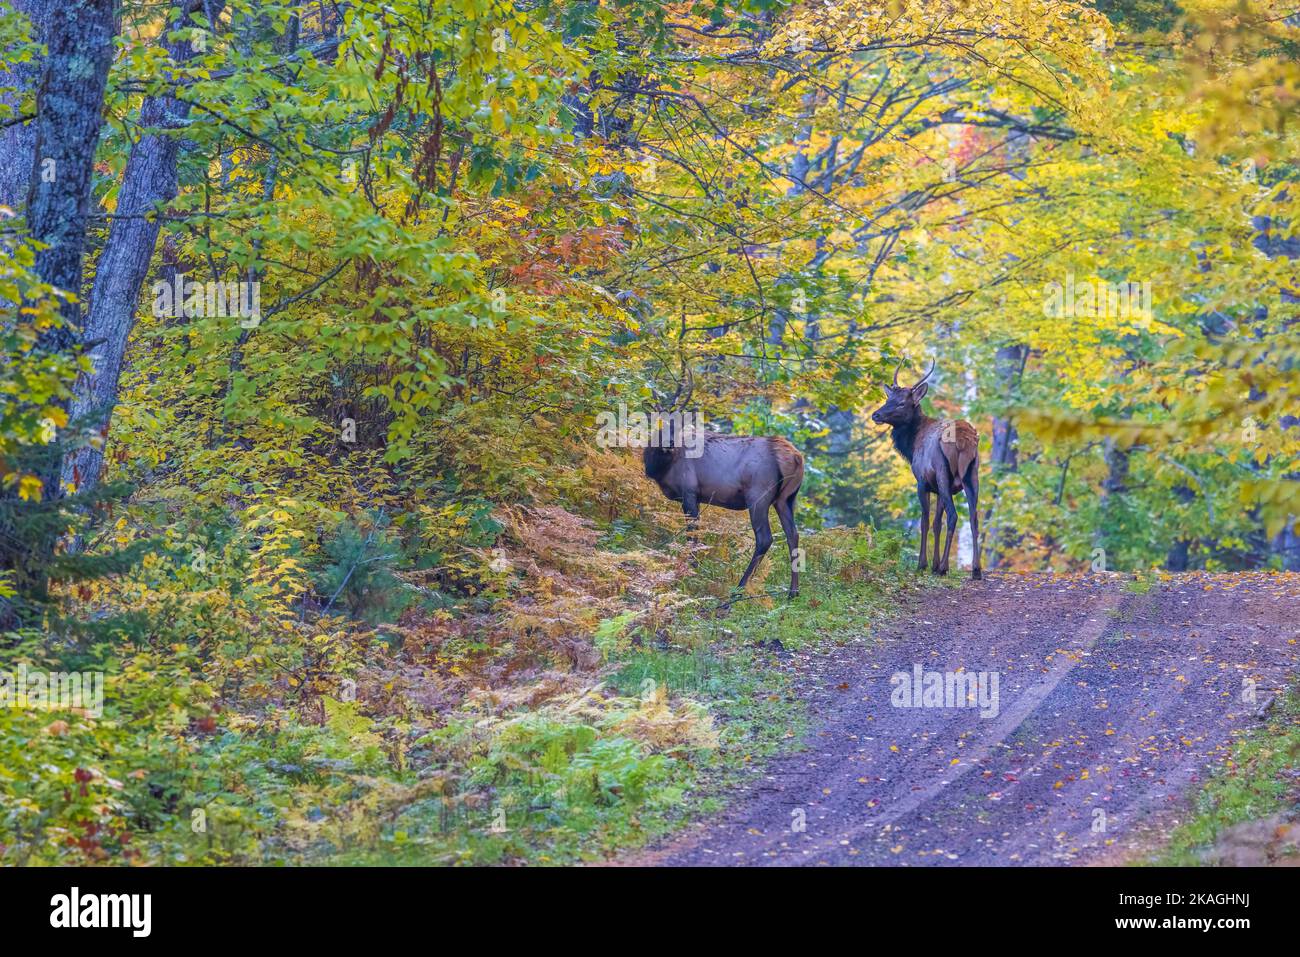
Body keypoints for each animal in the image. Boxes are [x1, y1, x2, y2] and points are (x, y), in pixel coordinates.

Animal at [640, 373, 805, 599]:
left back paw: (736, 592)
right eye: (660, 422)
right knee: (793, 534)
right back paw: (792, 593)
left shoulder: (689, 491)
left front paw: (690, 571)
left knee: (764, 538)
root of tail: (796, 458)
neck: (661, 468)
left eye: (680, 424)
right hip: (786, 499)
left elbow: (693, 533)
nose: (669, 442)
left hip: (758, 494)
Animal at [870, 359, 982, 580]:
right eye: (888, 399)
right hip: (972, 474)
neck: (911, 446)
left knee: (954, 516)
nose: (876, 414)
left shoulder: (923, 482)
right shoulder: (939, 489)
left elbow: (925, 522)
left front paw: (923, 564)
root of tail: (965, 440)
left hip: (943, 472)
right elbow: (937, 523)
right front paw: (933, 564)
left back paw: (945, 567)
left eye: (902, 403)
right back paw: (976, 570)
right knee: (974, 517)